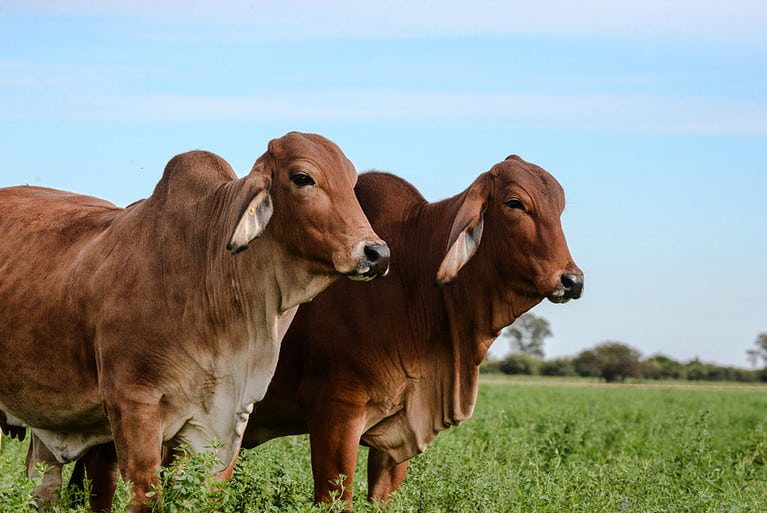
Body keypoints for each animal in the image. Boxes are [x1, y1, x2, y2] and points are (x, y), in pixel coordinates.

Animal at [0, 132, 390, 513]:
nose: (377, 253)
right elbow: (144, 494)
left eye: (352, 182)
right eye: (303, 178)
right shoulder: (133, 404)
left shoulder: (225, 421)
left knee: (43, 485)